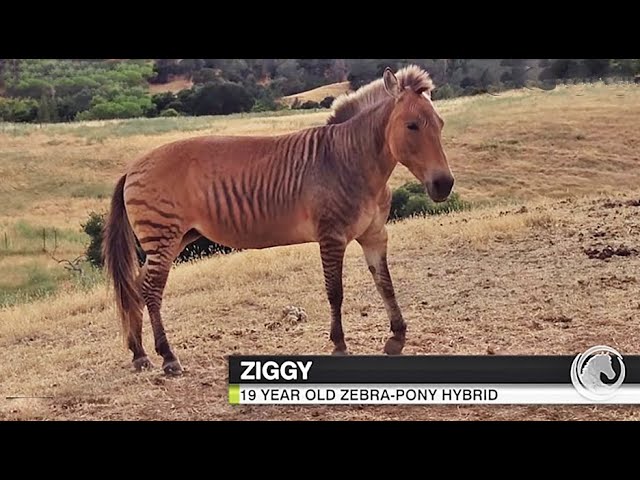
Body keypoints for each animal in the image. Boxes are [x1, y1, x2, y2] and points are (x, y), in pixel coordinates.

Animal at [103, 65, 454, 375]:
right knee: (150, 290)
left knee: (136, 286)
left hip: (178, 236)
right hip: (163, 234)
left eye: (440, 124)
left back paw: (139, 354)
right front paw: (339, 344)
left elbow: (386, 284)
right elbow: (335, 291)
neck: (352, 163)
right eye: (411, 126)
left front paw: (397, 337)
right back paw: (167, 357)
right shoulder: (331, 236)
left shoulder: (375, 234)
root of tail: (132, 167)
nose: (444, 185)